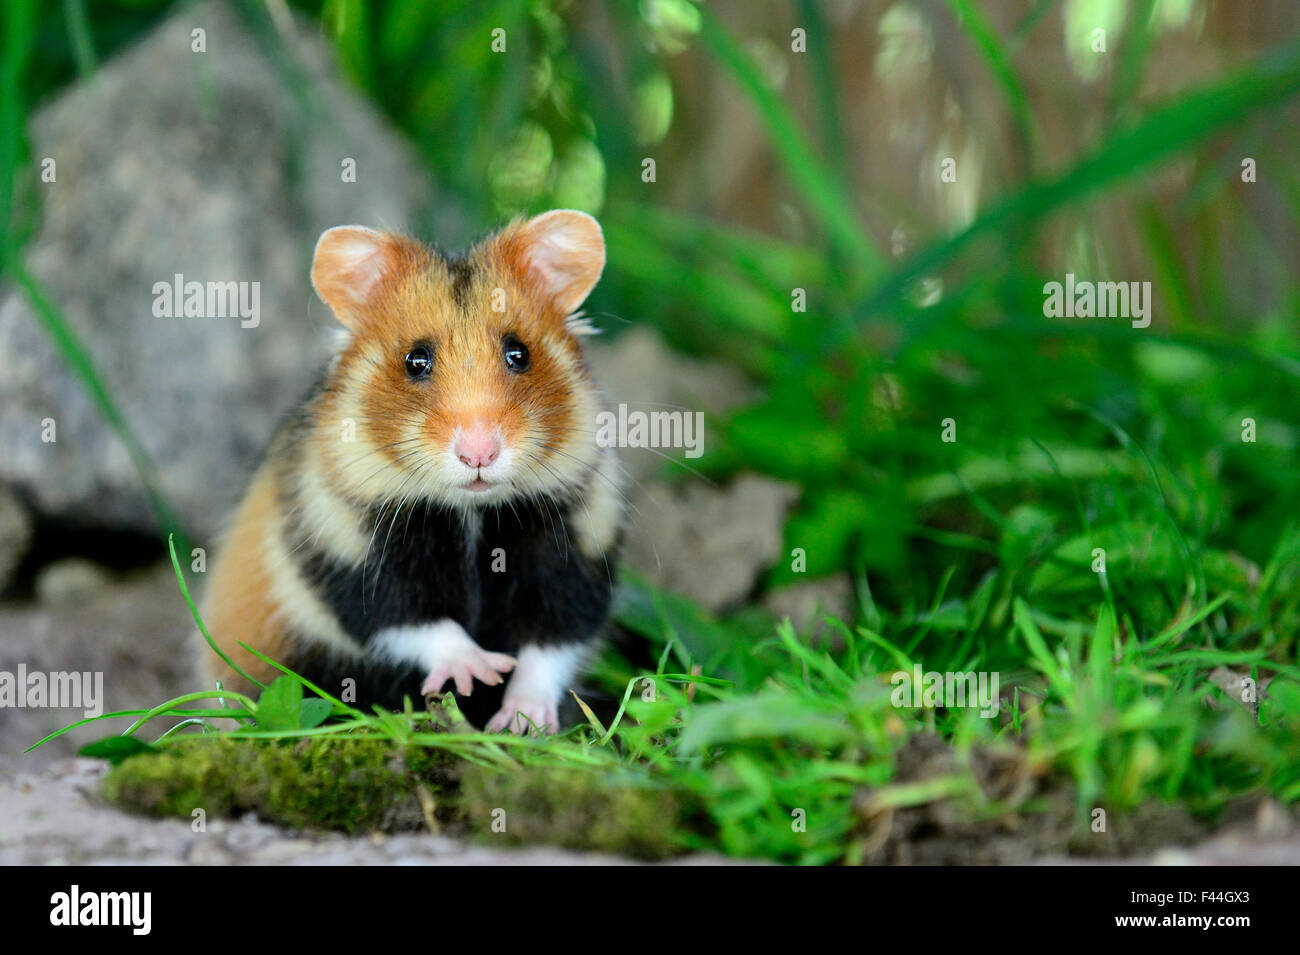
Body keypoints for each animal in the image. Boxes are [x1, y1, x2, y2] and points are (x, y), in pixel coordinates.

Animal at [199, 210, 625, 734]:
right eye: (415, 360)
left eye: (519, 353)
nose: (479, 454)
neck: (470, 509)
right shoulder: (347, 550)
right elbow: (412, 621)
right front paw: (480, 671)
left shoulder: (576, 545)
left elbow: (549, 645)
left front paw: (521, 721)